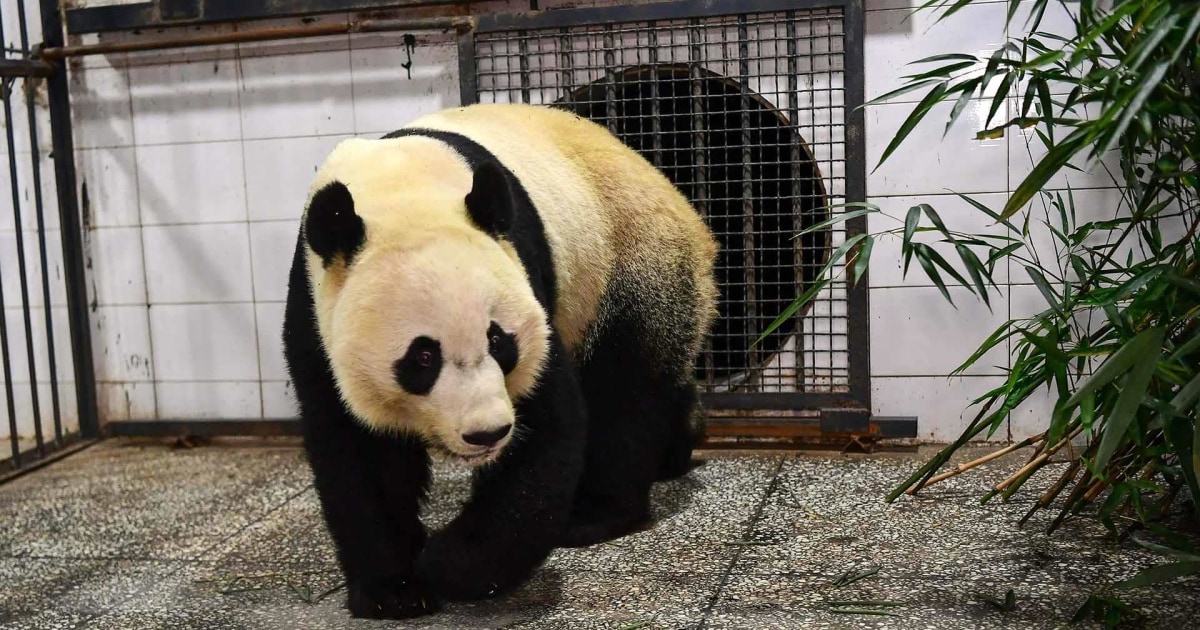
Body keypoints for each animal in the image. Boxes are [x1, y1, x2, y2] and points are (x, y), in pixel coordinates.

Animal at [282, 102, 719, 619]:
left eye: (498, 341)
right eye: (423, 356)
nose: (486, 433)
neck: (401, 191)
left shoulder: (524, 270)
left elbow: (545, 431)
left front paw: (447, 562)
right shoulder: (316, 310)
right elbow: (358, 452)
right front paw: (394, 589)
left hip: (629, 259)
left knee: (626, 390)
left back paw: (595, 513)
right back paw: (679, 444)